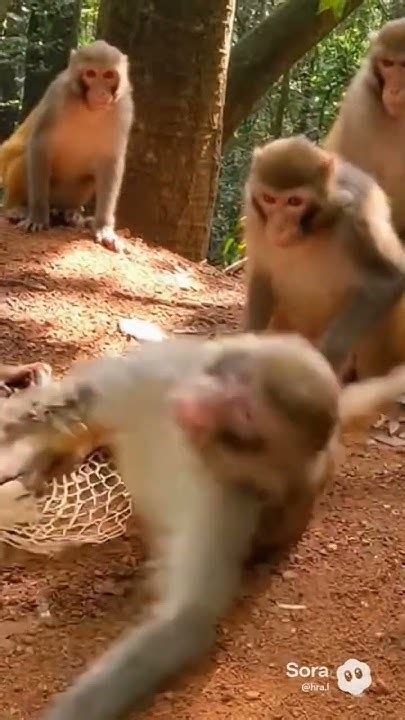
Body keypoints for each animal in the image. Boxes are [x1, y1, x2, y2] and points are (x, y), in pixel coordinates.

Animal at [0, 40, 134, 252]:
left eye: (109, 75)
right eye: (91, 73)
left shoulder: (124, 107)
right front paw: (37, 217)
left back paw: (69, 213)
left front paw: (104, 227)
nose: (101, 92)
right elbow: (39, 145)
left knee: (89, 179)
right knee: (25, 158)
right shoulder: (57, 95)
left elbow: (111, 161)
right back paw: (17, 208)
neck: (87, 107)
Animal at [0, 334, 405, 720]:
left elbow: (186, 619)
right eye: (234, 379)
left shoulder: (230, 498)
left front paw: (72, 710)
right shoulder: (162, 375)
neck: (184, 439)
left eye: (243, 418)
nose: (200, 403)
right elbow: (74, 399)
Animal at [243, 135, 405, 380]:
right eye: (269, 199)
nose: (279, 227)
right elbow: (262, 274)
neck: (312, 231)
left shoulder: (357, 220)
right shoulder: (254, 219)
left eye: (294, 202)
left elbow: (390, 278)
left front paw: (328, 357)